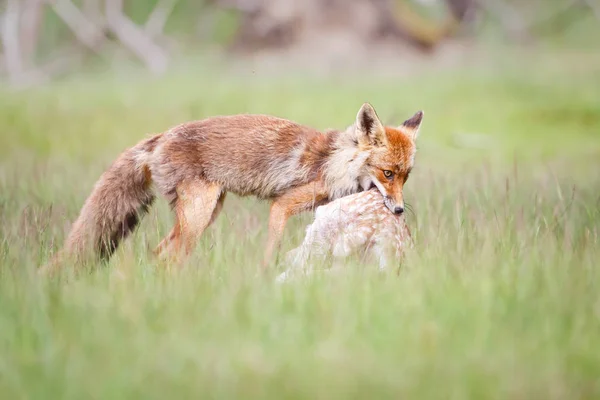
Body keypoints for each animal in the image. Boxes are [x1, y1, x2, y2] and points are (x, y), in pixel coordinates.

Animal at [44, 103, 422, 272]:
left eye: (406, 177)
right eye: (387, 173)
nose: (399, 209)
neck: (335, 162)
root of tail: (160, 136)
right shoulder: (282, 205)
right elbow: (273, 245)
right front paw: (266, 271)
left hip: (207, 213)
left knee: (157, 253)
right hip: (198, 217)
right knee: (170, 256)